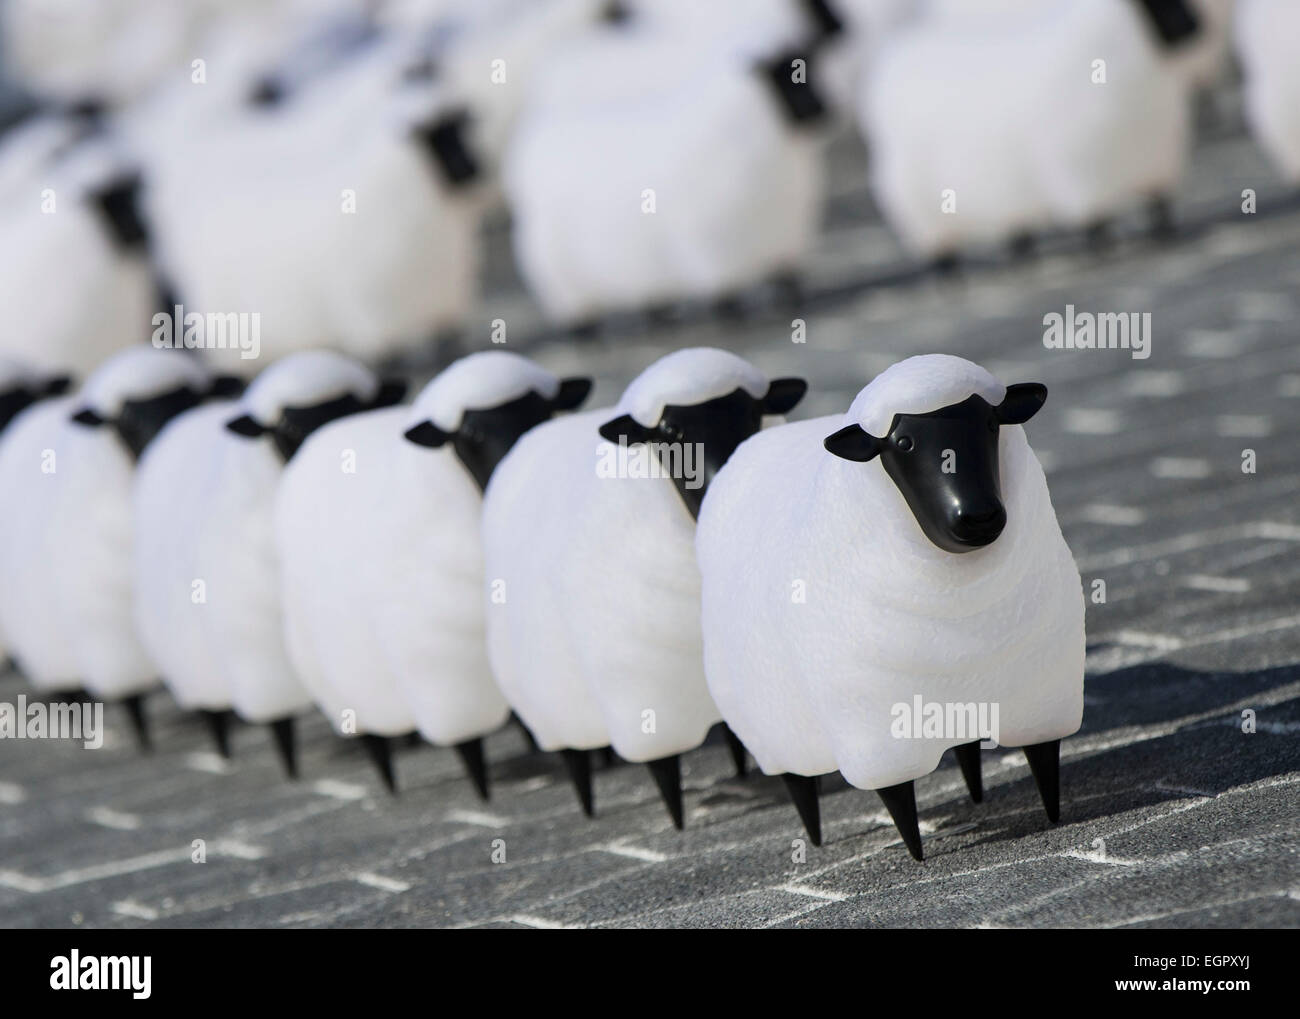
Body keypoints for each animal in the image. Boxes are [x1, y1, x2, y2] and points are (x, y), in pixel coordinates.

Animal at [695, 354, 1085, 859]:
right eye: (902, 442)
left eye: (991, 424)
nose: (977, 516)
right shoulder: (876, 730)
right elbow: (898, 797)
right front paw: (917, 854)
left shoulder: (1040, 695)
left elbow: (1043, 759)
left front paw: (1053, 815)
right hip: (776, 725)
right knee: (799, 782)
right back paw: (814, 836)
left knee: (966, 750)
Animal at [860, 0, 1197, 263]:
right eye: (1158, 4)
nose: (1193, 28)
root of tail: (893, 67)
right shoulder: (1082, 183)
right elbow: (1096, 229)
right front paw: (1104, 252)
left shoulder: (1158, 164)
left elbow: (1162, 211)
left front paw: (1167, 234)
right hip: (918, 208)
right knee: (940, 251)